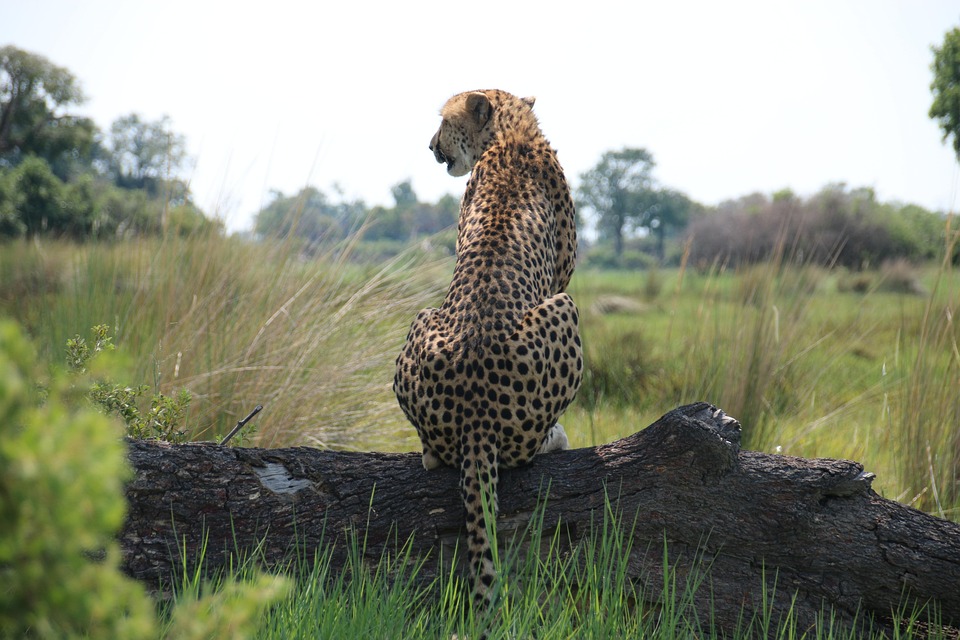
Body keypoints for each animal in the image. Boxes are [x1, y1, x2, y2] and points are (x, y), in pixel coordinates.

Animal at [393, 89, 582, 604]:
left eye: (443, 122)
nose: (429, 145)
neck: (512, 134)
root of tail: (476, 415)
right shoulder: (562, 279)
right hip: (564, 305)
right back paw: (557, 438)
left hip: (423, 319)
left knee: (436, 454)